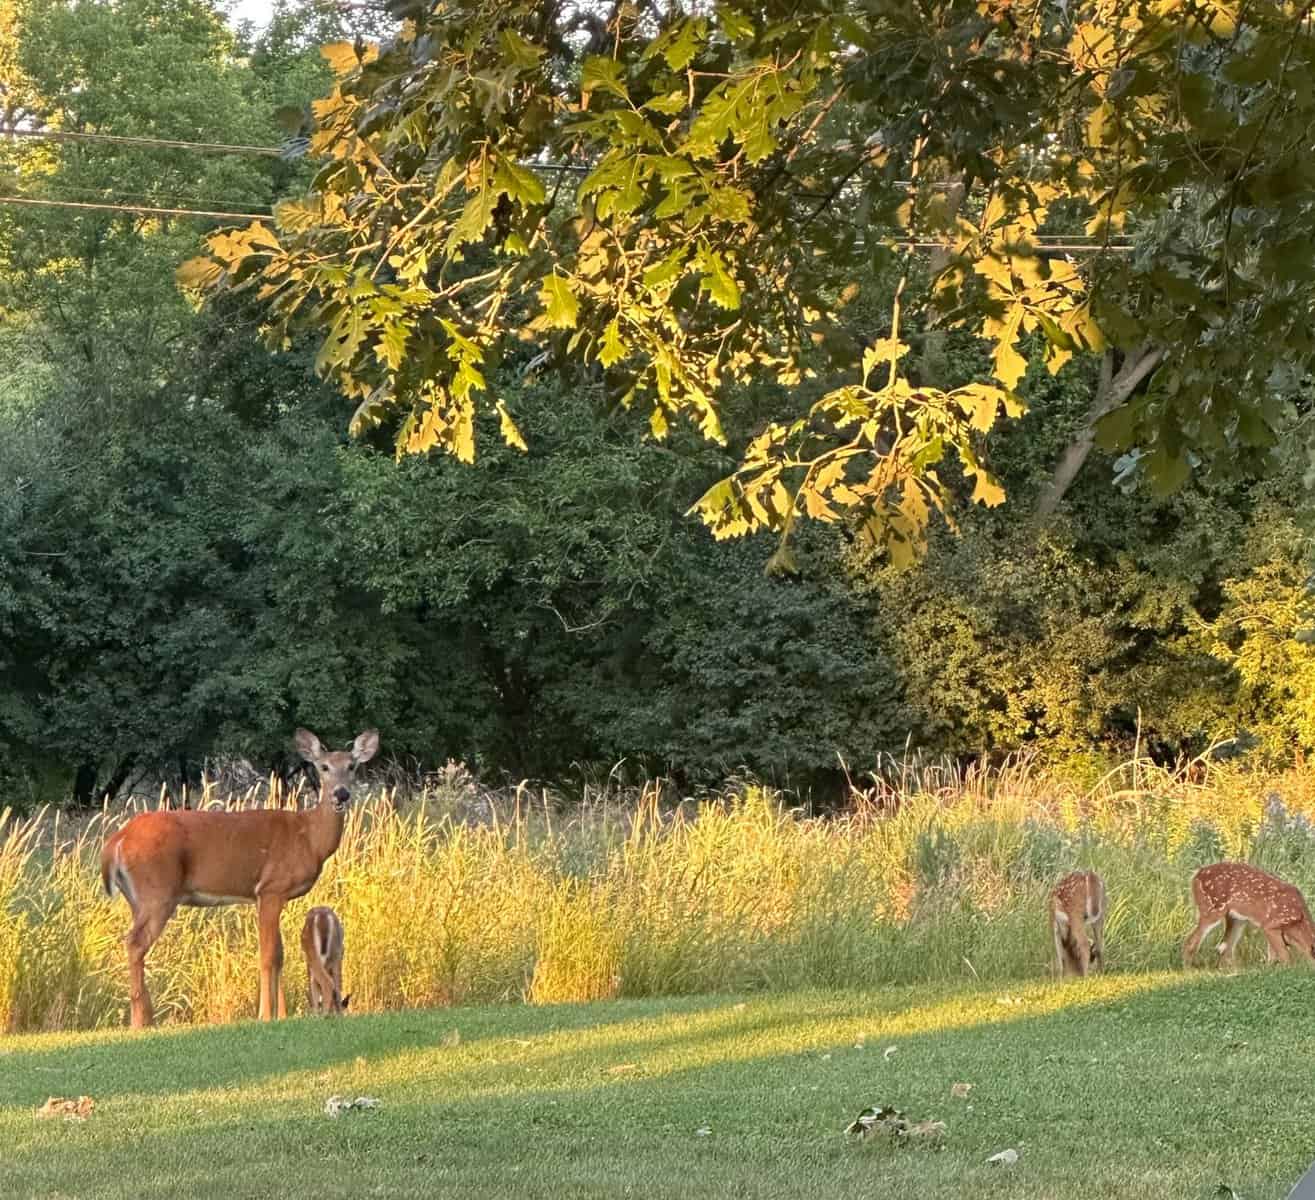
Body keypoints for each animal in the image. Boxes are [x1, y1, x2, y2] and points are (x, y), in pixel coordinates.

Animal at [99, 728, 378, 1028]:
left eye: (352, 766)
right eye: (324, 767)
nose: (341, 793)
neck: (309, 837)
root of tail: (117, 840)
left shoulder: (266, 896)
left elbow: (279, 955)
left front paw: (280, 1014)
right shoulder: (271, 887)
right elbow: (267, 955)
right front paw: (265, 1015)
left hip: (137, 898)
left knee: (135, 943)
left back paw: (147, 1018)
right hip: (157, 892)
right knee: (135, 943)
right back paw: (139, 1021)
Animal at [1183, 861, 1315, 968]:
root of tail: (1196, 875)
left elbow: (1272, 957)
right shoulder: (1270, 925)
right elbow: (1285, 956)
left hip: (1237, 919)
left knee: (1224, 948)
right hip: (1212, 910)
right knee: (1191, 942)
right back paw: (1188, 969)